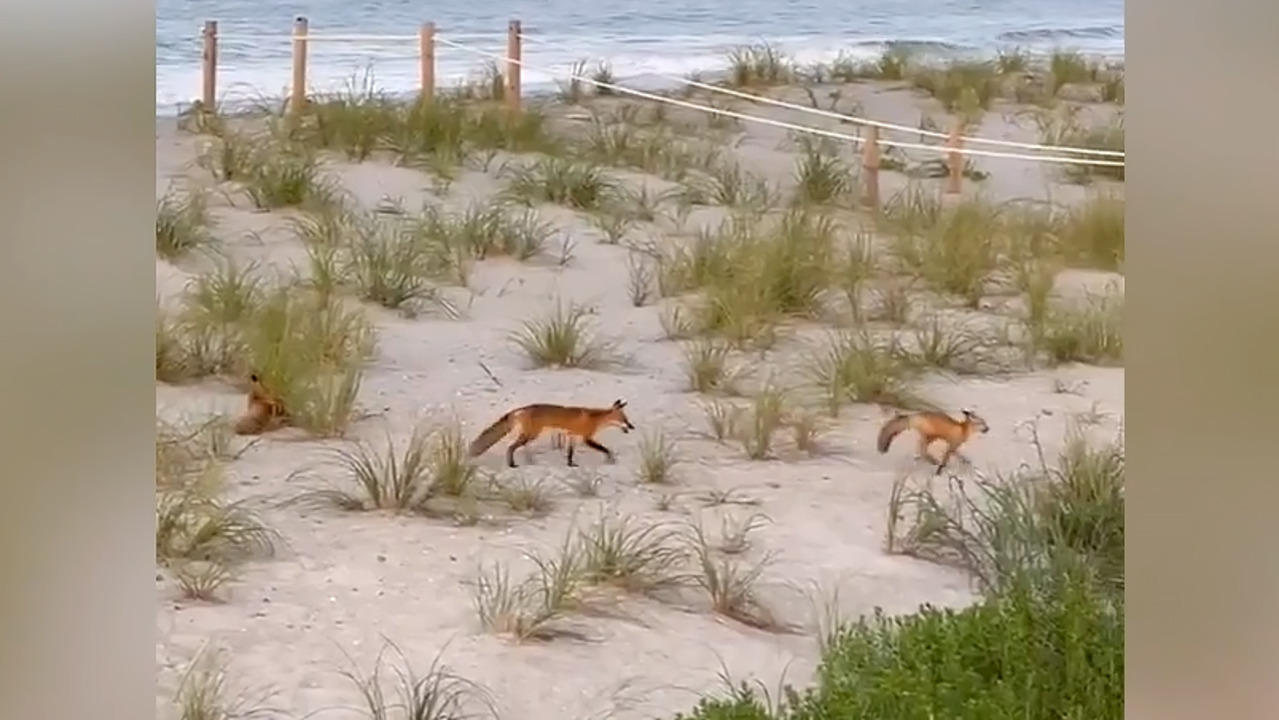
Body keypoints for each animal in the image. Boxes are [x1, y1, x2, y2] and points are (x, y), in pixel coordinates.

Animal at [467, 399, 636, 468]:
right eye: (625, 420)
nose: (632, 427)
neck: (595, 418)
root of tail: (524, 408)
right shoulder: (586, 438)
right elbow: (606, 449)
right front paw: (610, 459)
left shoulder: (571, 436)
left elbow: (570, 454)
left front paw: (570, 465)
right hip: (531, 434)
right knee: (511, 447)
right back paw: (512, 464)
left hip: (529, 435)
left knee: (519, 447)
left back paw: (529, 461)